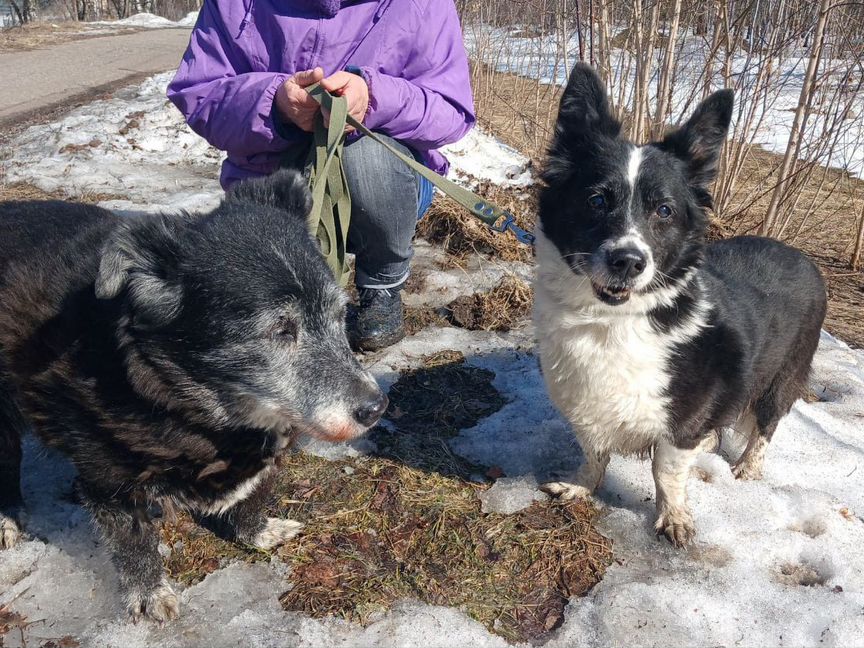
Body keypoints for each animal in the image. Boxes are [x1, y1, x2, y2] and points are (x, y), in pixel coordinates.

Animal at [0, 168, 386, 624]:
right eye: (280, 330)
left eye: (341, 315)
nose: (376, 408)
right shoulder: (106, 480)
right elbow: (132, 542)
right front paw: (149, 595)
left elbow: (253, 492)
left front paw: (256, 532)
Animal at [536, 62, 828, 548]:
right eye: (596, 200)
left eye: (664, 210)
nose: (628, 261)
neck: (612, 319)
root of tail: (801, 255)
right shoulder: (586, 407)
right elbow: (594, 454)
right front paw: (581, 487)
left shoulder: (681, 422)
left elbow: (666, 470)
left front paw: (673, 517)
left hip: (783, 376)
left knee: (766, 425)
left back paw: (747, 469)